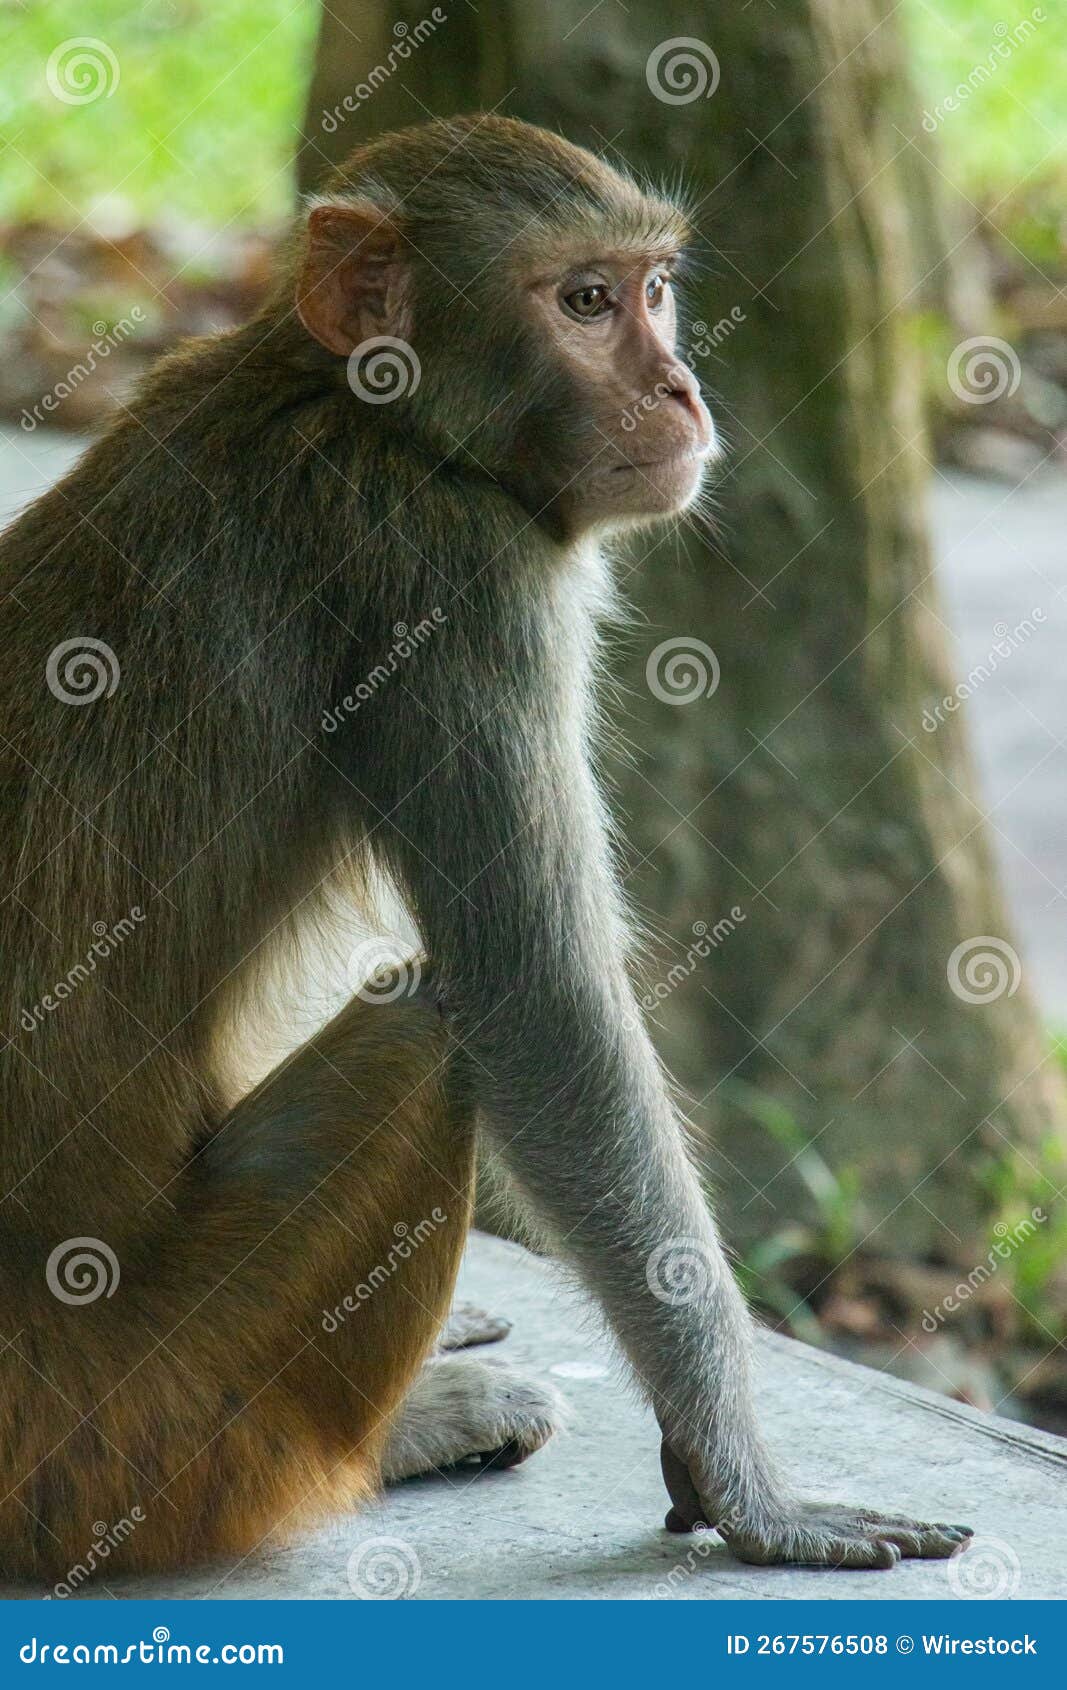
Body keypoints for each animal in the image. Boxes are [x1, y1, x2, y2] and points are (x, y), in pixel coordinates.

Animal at [0, 114, 972, 1583]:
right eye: (582, 302)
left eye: (651, 290)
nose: (680, 390)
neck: (358, 409)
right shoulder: (454, 574)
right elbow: (540, 1008)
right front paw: (741, 1472)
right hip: (140, 1412)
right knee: (427, 1028)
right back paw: (383, 1439)